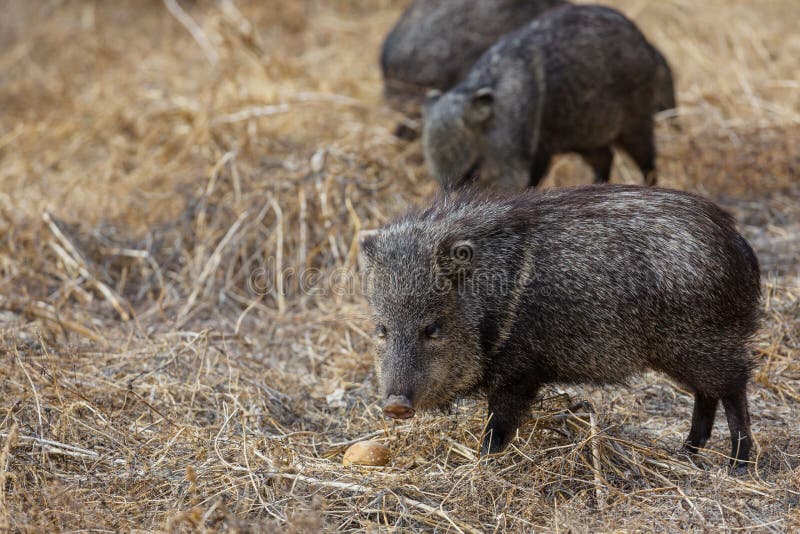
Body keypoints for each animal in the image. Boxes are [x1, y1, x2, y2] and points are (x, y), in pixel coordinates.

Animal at [359, 185, 761, 471]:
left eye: (432, 329)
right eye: (382, 330)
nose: (395, 406)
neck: (494, 304)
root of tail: (739, 246)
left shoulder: (519, 371)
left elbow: (500, 423)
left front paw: (483, 462)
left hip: (701, 340)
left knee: (734, 386)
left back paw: (737, 464)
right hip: (687, 350)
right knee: (707, 394)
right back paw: (687, 451)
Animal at [422, 4, 668, 189]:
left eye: (471, 172)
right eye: (440, 181)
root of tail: (645, 42)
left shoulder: (533, 157)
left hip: (636, 122)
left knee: (647, 161)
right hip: (586, 137)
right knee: (605, 158)